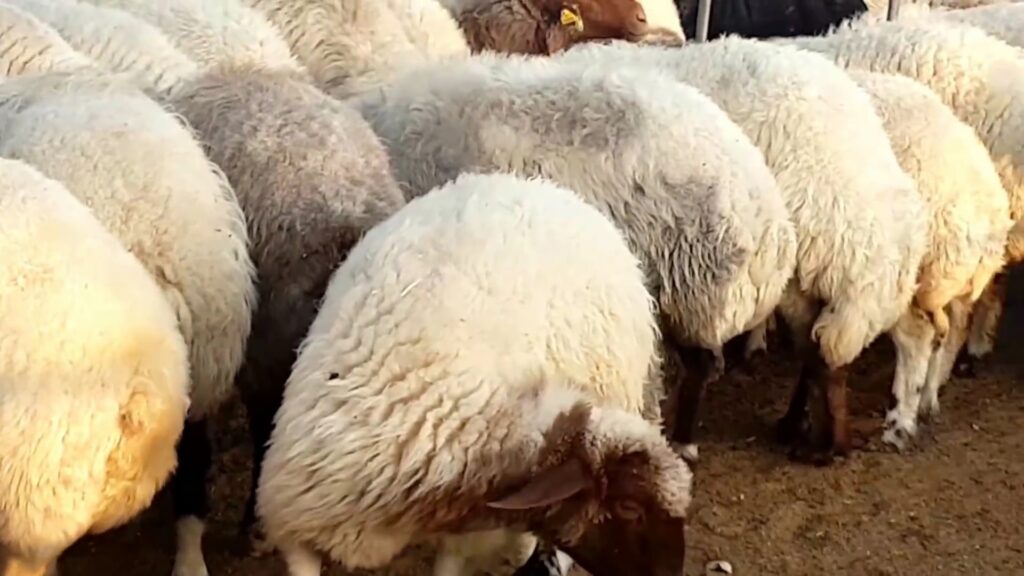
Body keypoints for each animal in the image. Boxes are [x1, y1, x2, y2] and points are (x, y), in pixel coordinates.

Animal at [842, 70, 1012, 447]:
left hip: (907, 279)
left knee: (918, 339)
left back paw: (900, 421)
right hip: (949, 282)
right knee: (950, 332)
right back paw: (929, 400)